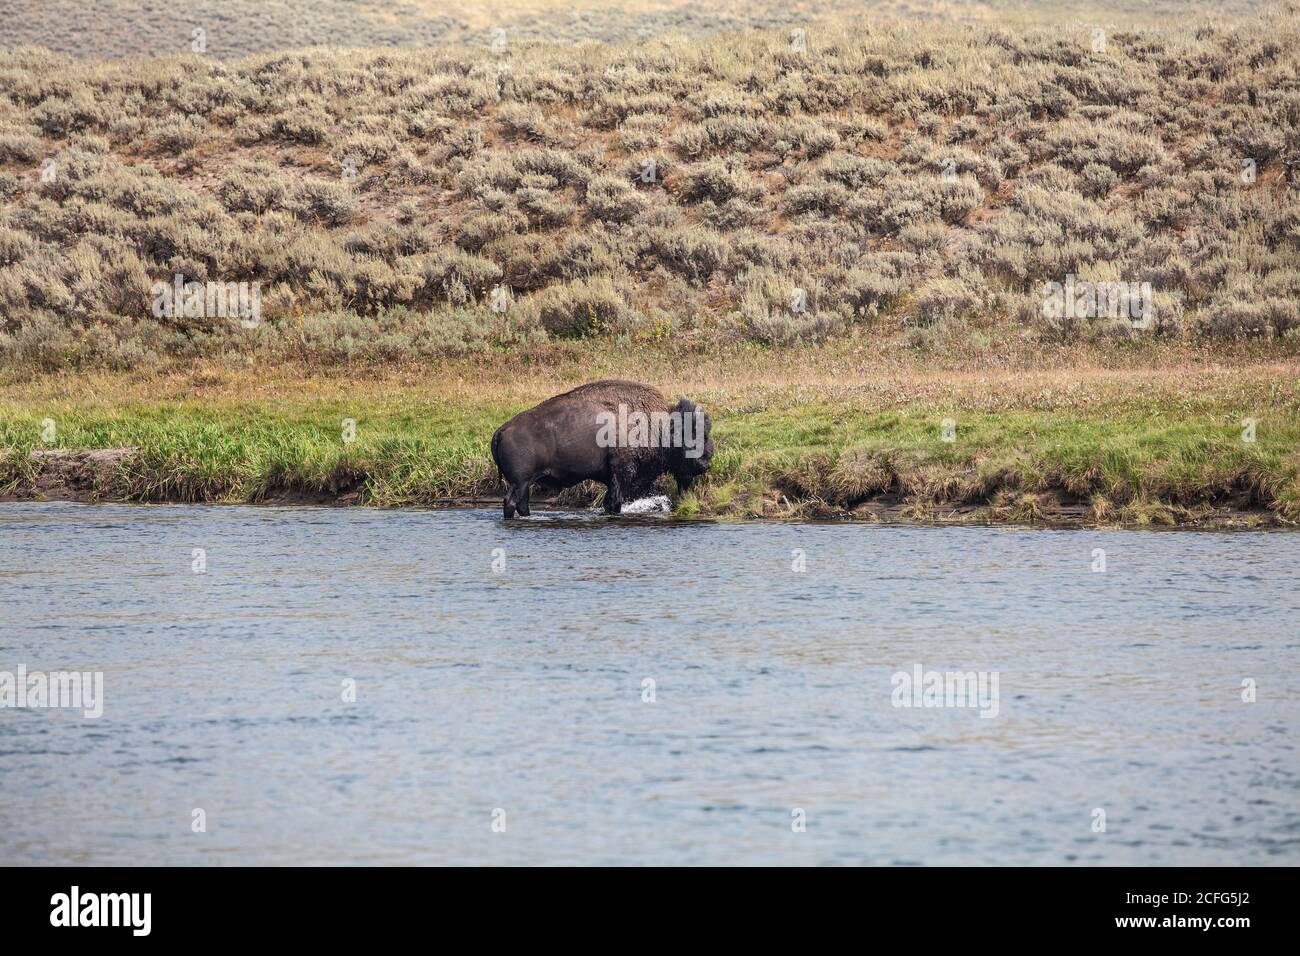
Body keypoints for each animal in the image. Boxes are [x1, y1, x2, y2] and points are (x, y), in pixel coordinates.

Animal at [490, 380, 714, 518]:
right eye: (693, 434)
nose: (705, 462)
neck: (659, 425)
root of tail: (502, 429)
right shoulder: (622, 474)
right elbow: (614, 502)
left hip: (524, 483)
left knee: (521, 504)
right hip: (520, 481)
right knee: (511, 503)